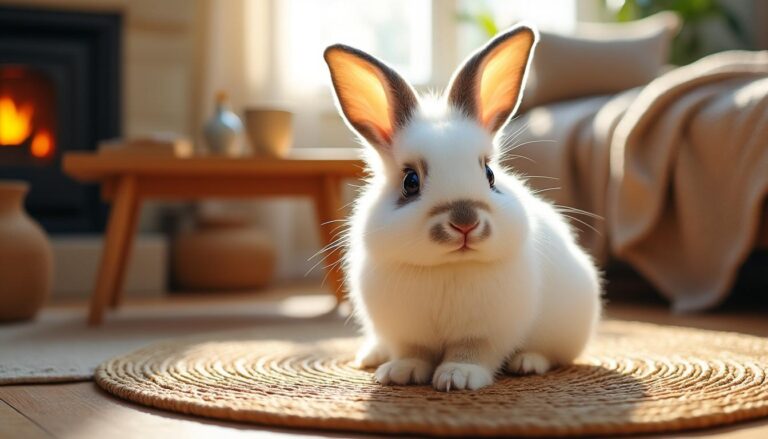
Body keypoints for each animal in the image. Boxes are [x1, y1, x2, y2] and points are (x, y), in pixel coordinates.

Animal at [323, 24, 602, 392]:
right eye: (410, 181)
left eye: (489, 174)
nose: (465, 221)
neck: (449, 267)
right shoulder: (407, 331)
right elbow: (414, 351)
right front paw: (401, 372)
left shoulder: (485, 332)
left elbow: (472, 352)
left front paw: (458, 378)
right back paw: (372, 356)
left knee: (553, 355)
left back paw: (528, 362)